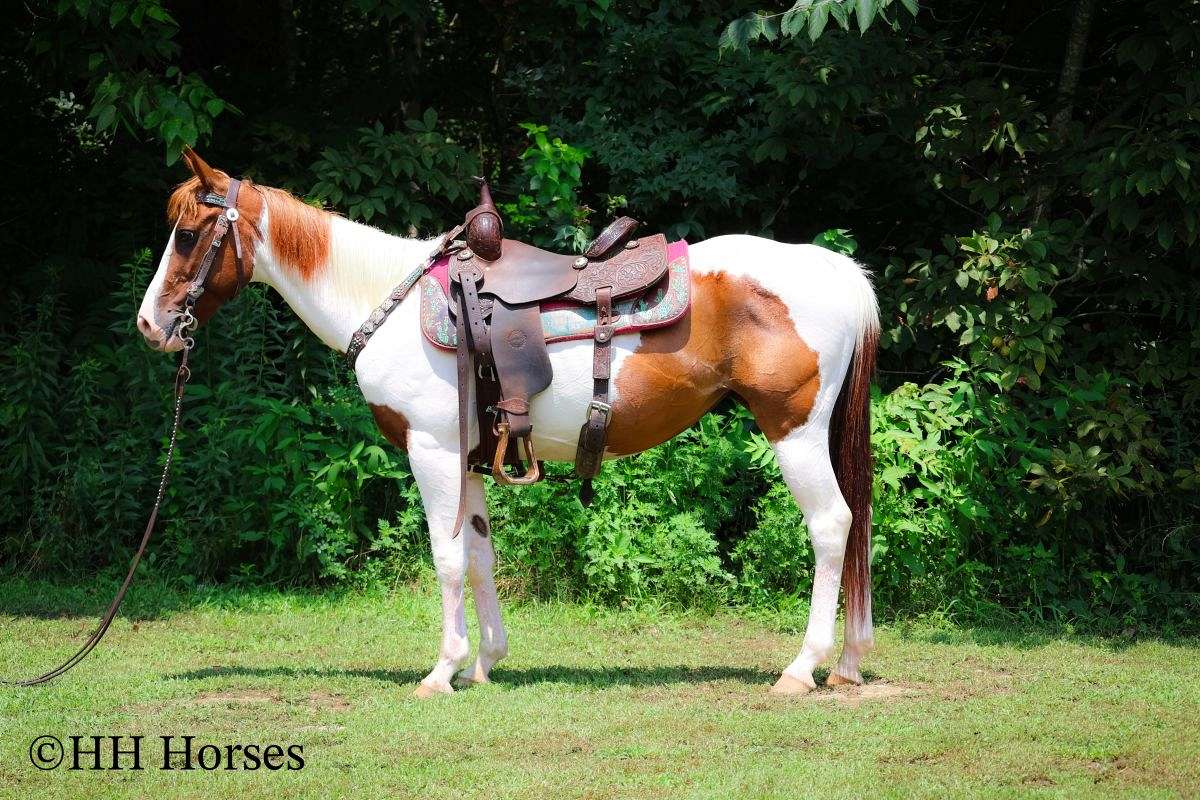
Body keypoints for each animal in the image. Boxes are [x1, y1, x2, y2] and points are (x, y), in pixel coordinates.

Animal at [136, 148, 880, 698]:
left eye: (188, 235)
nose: (149, 326)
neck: (390, 303)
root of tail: (840, 273)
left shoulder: (431, 451)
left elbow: (445, 556)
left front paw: (442, 670)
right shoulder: (467, 457)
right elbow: (480, 553)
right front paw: (485, 662)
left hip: (794, 433)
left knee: (831, 526)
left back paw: (802, 667)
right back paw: (846, 660)